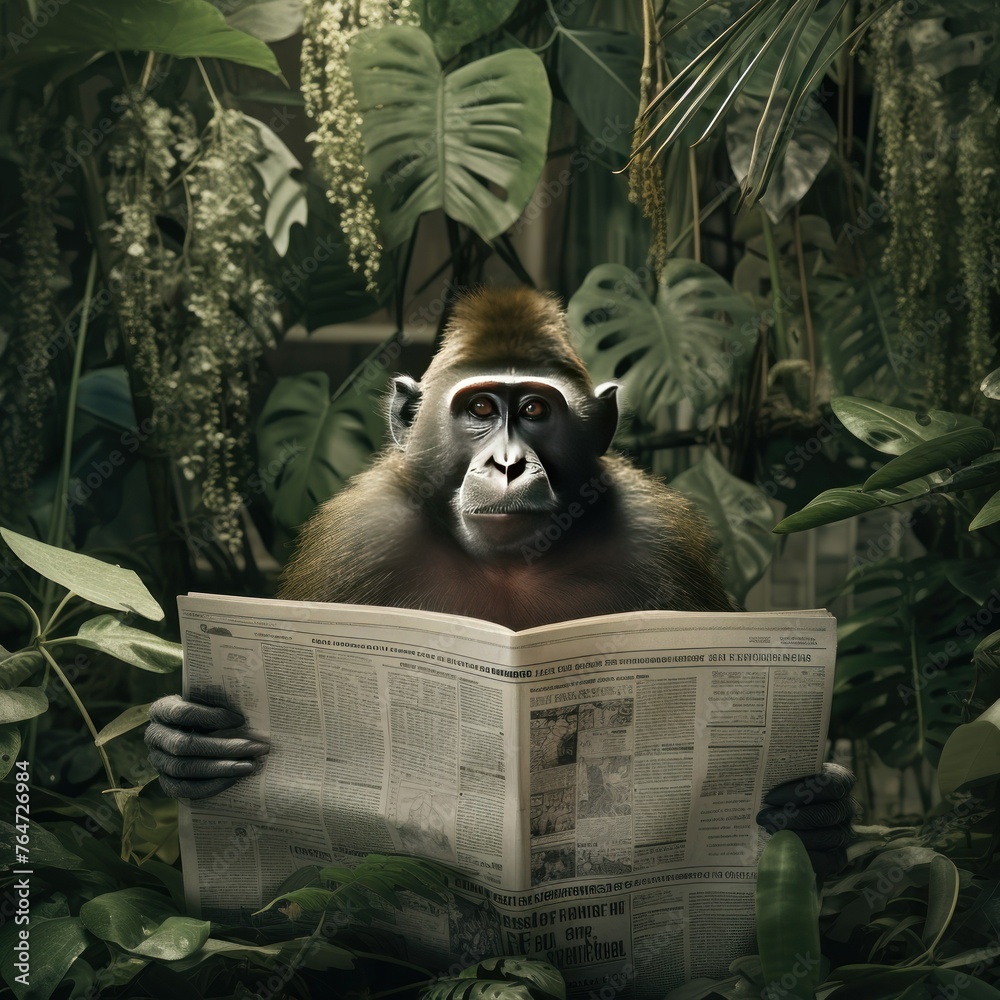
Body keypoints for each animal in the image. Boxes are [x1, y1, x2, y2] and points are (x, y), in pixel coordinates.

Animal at [145, 286, 854, 874]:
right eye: (481, 407)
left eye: (536, 408)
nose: (509, 464)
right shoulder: (361, 532)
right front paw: (184, 744)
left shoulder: (660, 537)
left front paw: (820, 817)